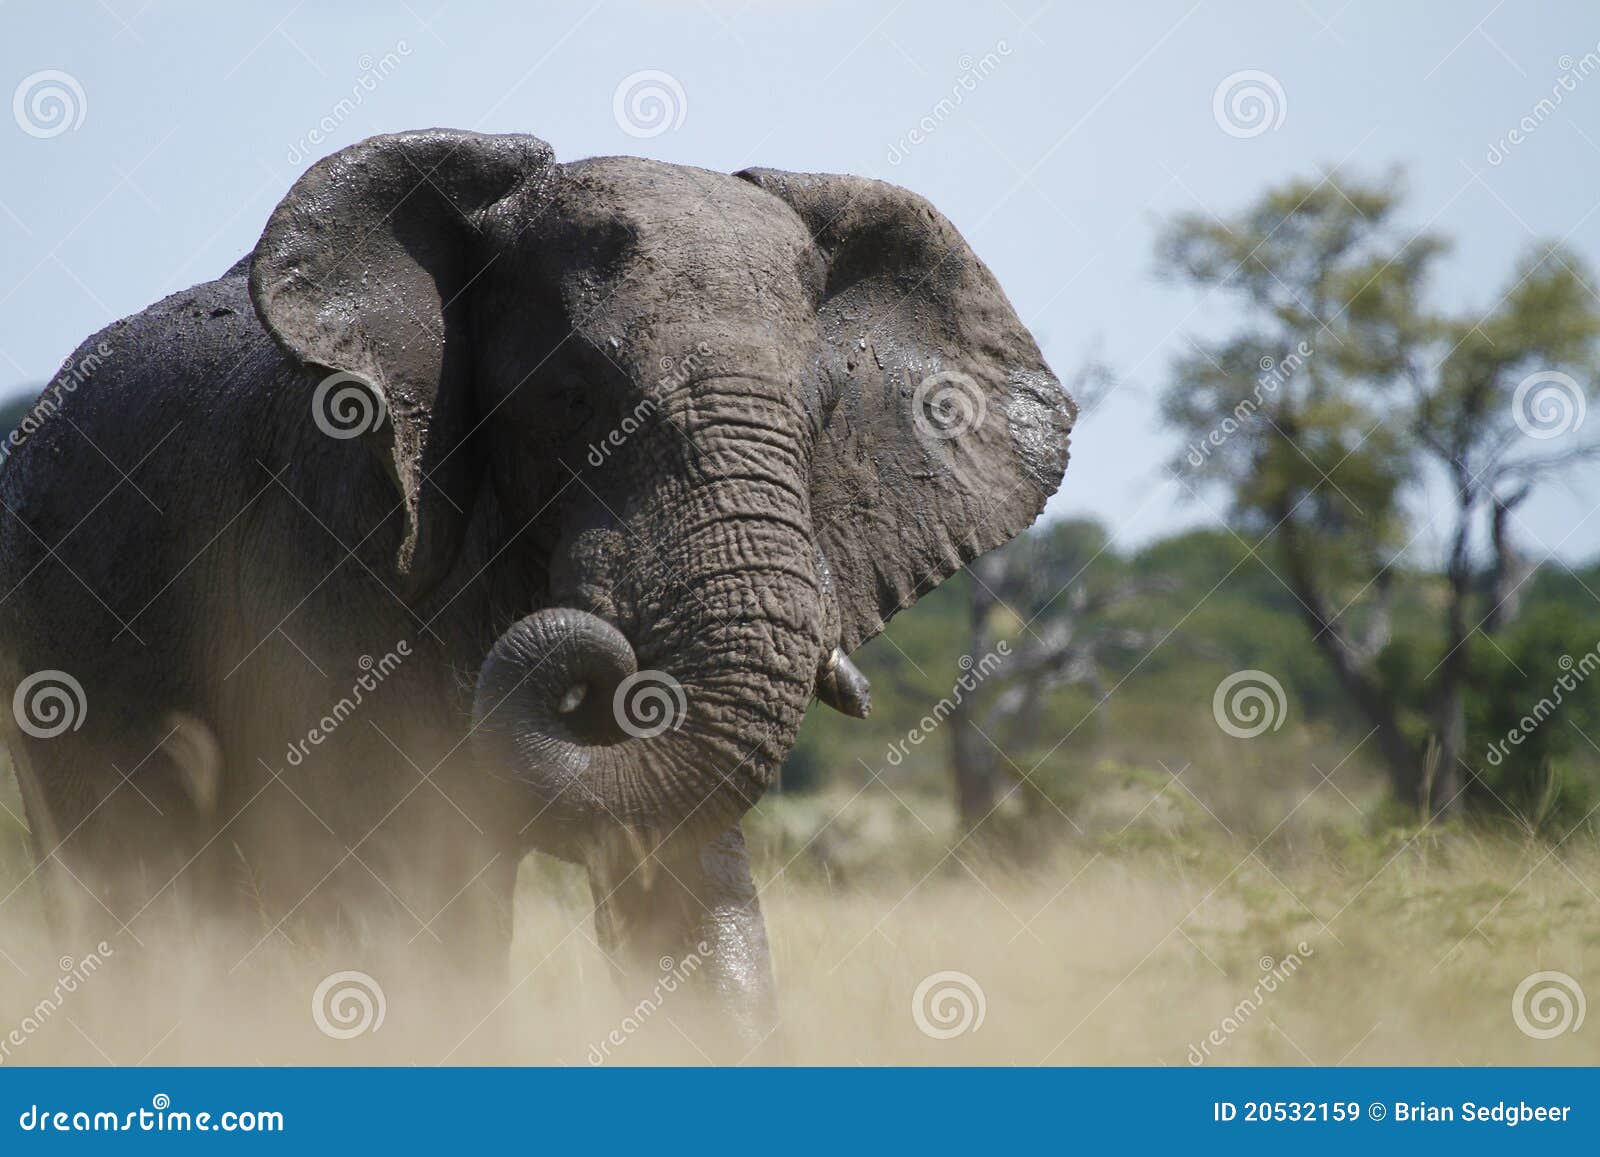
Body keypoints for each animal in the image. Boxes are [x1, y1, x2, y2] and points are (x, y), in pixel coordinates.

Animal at [0, 128, 1073, 1057]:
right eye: (575, 397)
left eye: (815, 417)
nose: (599, 648)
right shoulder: (328, 537)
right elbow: (394, 902)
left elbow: (691, 894)